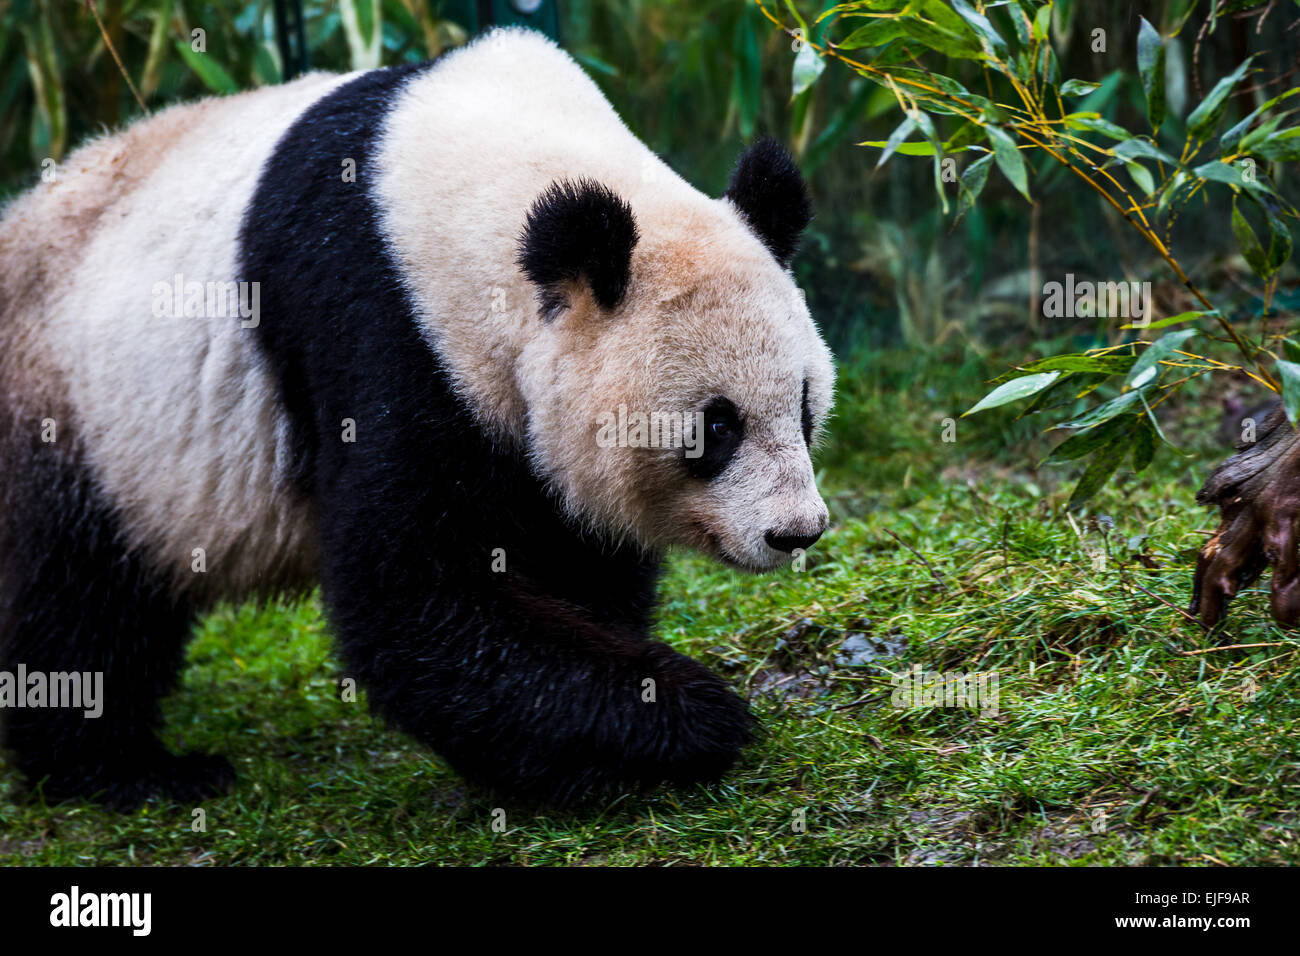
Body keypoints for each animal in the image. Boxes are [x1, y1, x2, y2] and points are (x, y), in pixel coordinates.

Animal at [0, 28, 834, 808]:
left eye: (803, 406)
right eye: (715, 428)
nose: (795, 532)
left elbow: (565, 552)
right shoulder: (380, 322)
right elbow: (410, 592)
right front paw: (687, 713)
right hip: (70, 406)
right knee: (78, 600)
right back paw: (128, 769)